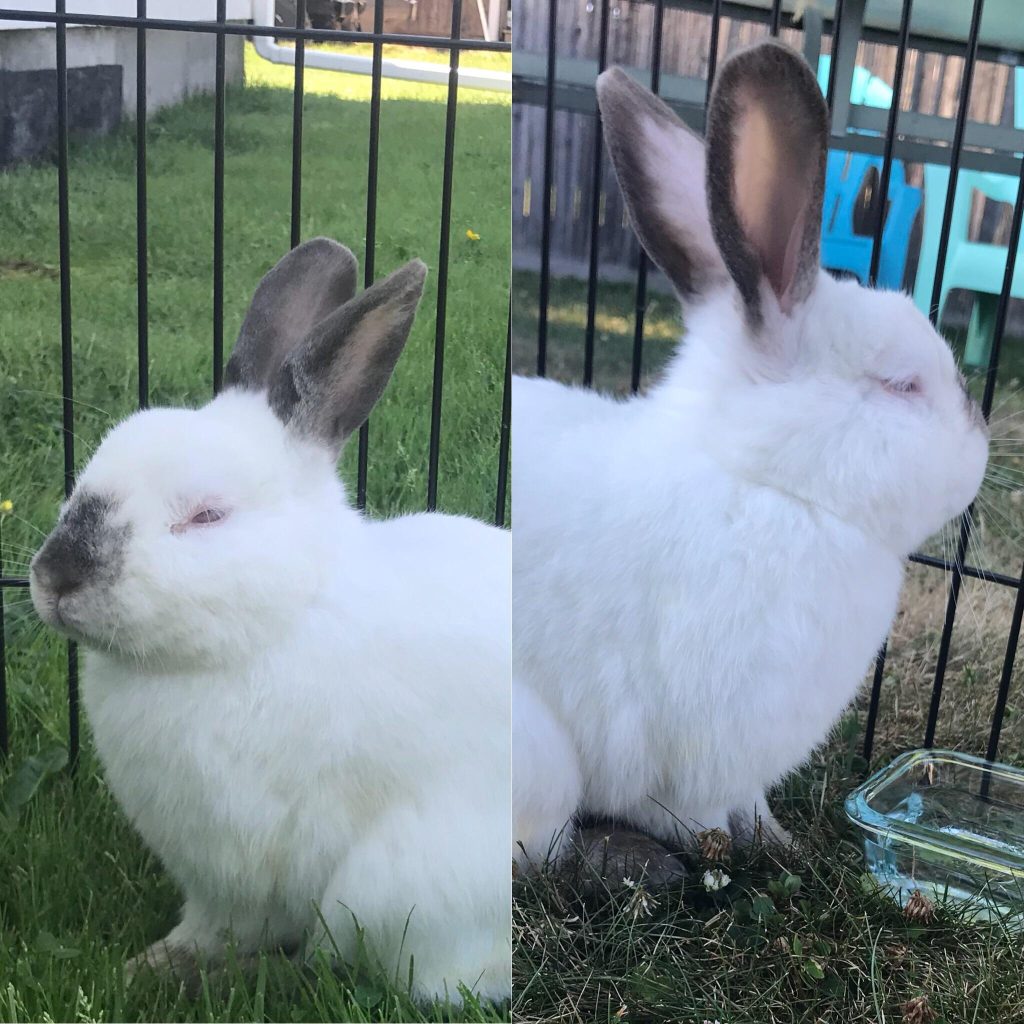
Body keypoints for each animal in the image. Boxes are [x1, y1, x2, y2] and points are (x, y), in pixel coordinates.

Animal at [29, 238, 511, 1005]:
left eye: (206, 516)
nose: (54, 578)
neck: (286, 616)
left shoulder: (248, 867)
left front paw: (157, 973)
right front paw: (152, 963)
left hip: (394, 886)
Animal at [511, 41, 989, 866]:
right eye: (902, 384)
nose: (984, 444)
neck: (767, 484)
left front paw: (775, 835)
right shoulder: (696, 754)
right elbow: (689, 812)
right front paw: (735, 847)